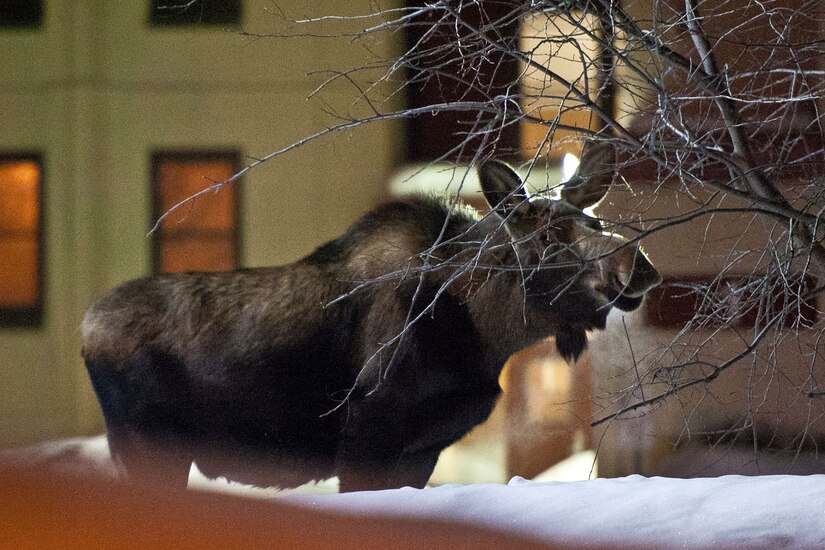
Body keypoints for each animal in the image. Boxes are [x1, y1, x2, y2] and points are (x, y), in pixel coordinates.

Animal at [81, 143, 661, 492]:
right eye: (549, 236)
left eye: (594, 220)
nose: (638, 265)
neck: (488, 333)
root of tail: (84, 328)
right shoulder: (368, 432)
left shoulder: (421, 449)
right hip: (145, 446)